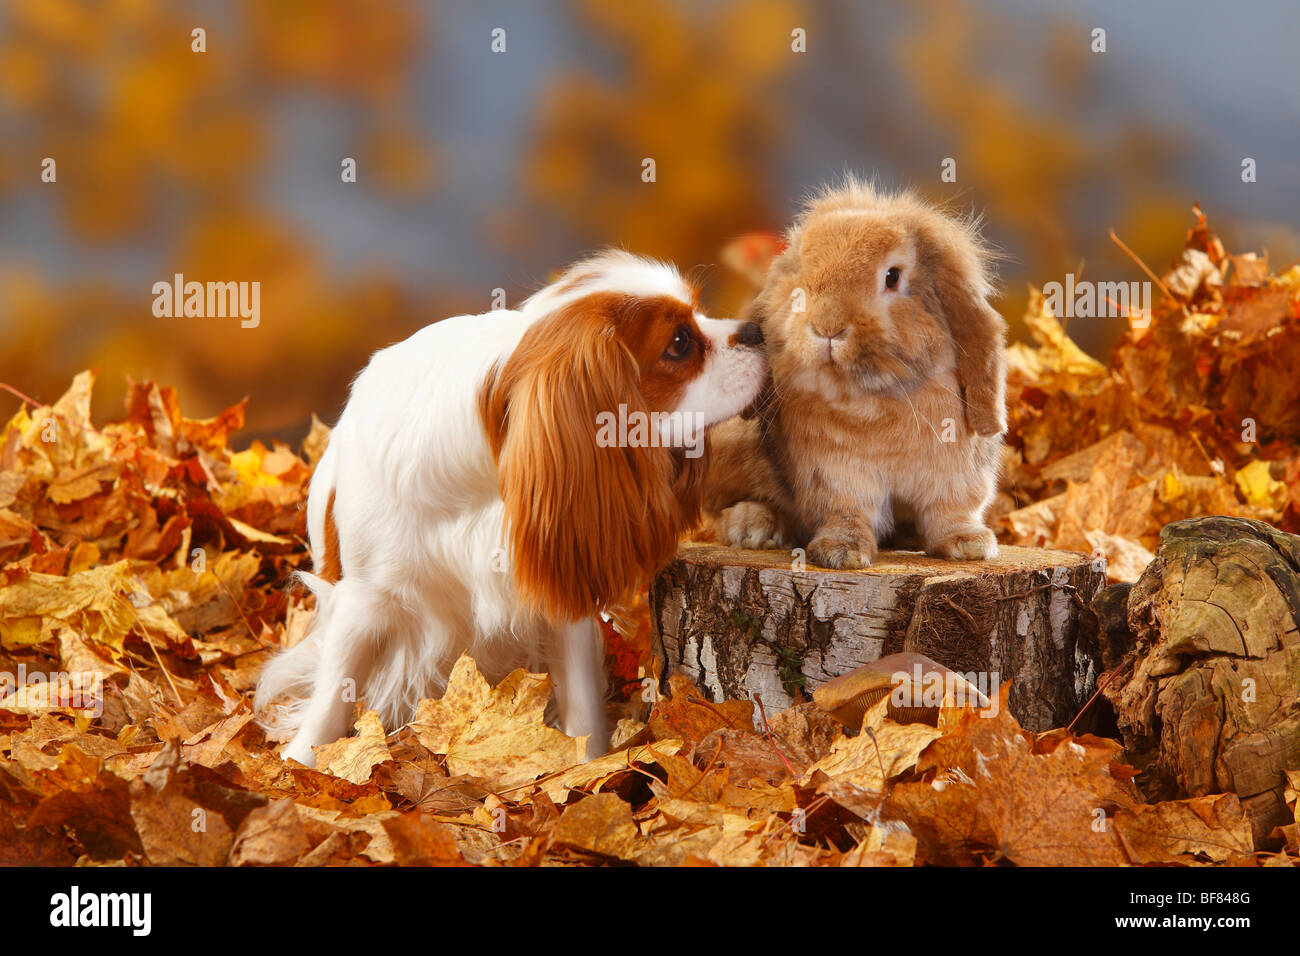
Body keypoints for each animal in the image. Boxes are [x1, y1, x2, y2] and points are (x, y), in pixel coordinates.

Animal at [704, 178, 1007, 568]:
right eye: (802, 272)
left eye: (892, 276)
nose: (827, 327)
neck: (874, 400)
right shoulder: (835, 475)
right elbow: (847, 512)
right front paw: (842, 553)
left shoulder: (956, 472)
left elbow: (952, 509)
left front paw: (969, 544)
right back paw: (753, 526)